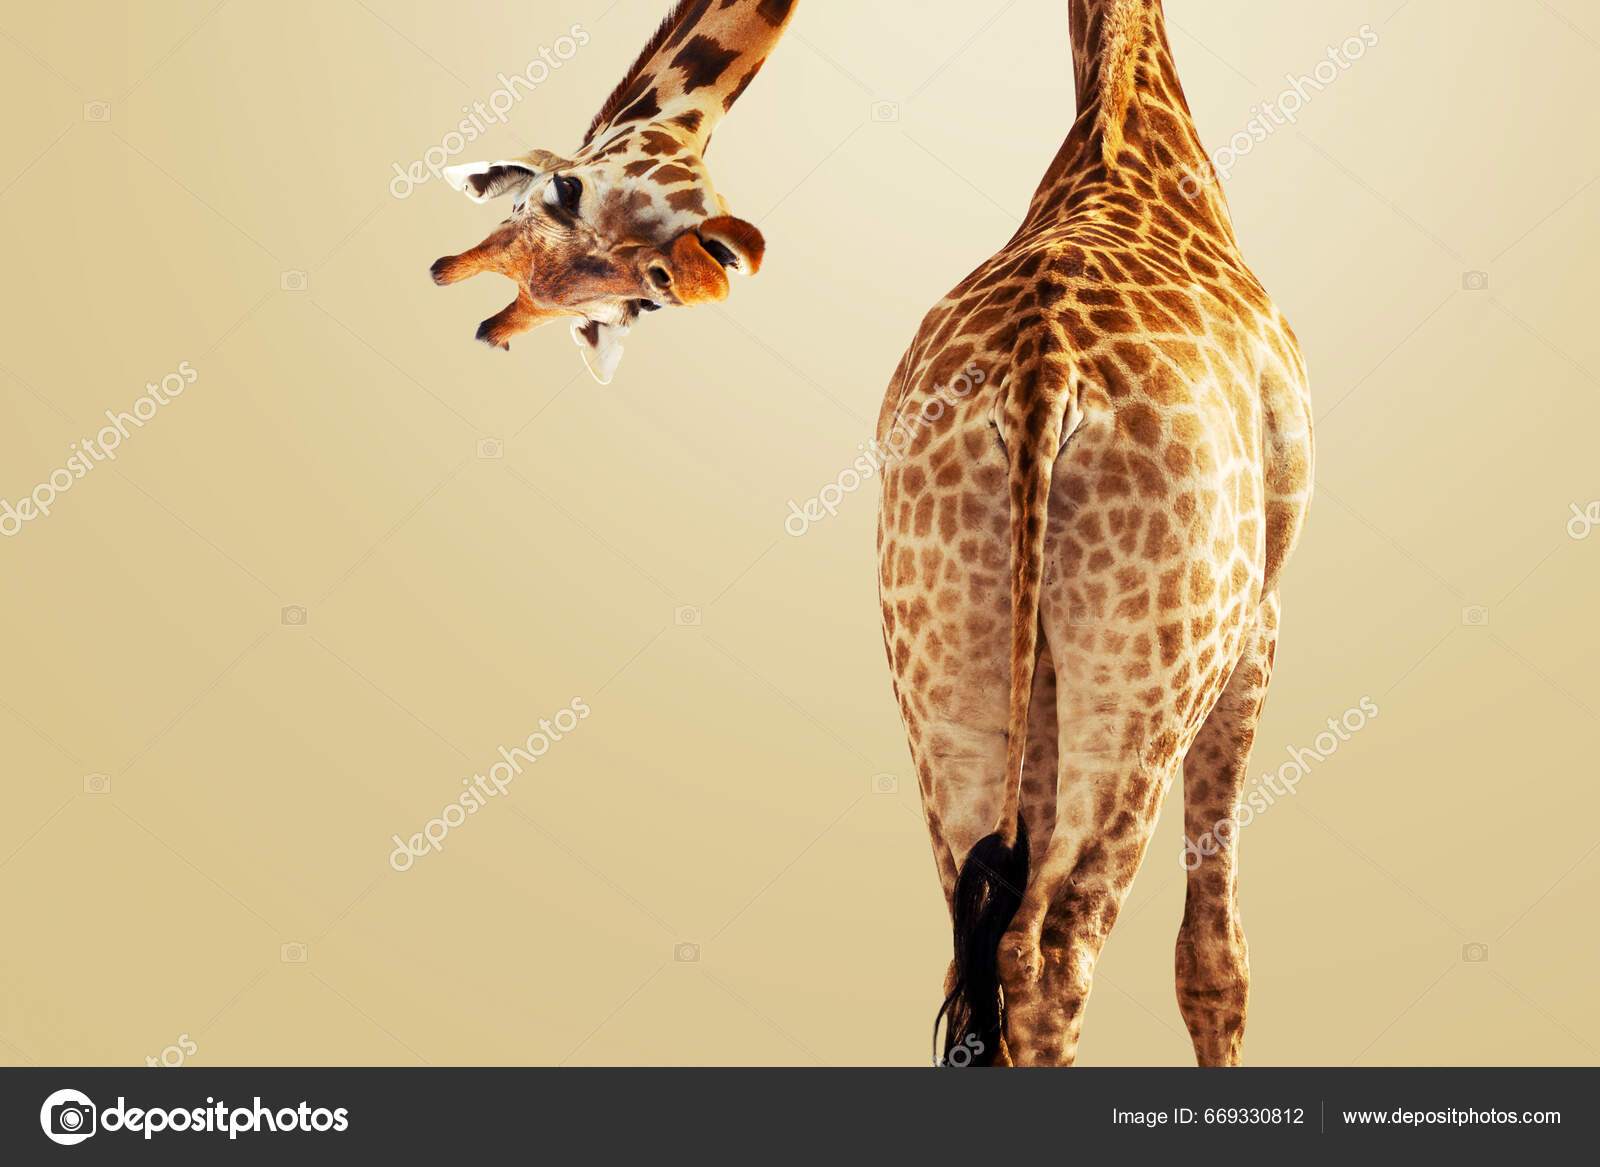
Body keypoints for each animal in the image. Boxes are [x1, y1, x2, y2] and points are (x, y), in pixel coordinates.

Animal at [878, 0, 1313, 1067]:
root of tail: (1040, 376)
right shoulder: (1262, 618)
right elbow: (1216, 956)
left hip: (941, 661)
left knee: (976, 949)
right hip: (1156, 676)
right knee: (1052, 951)